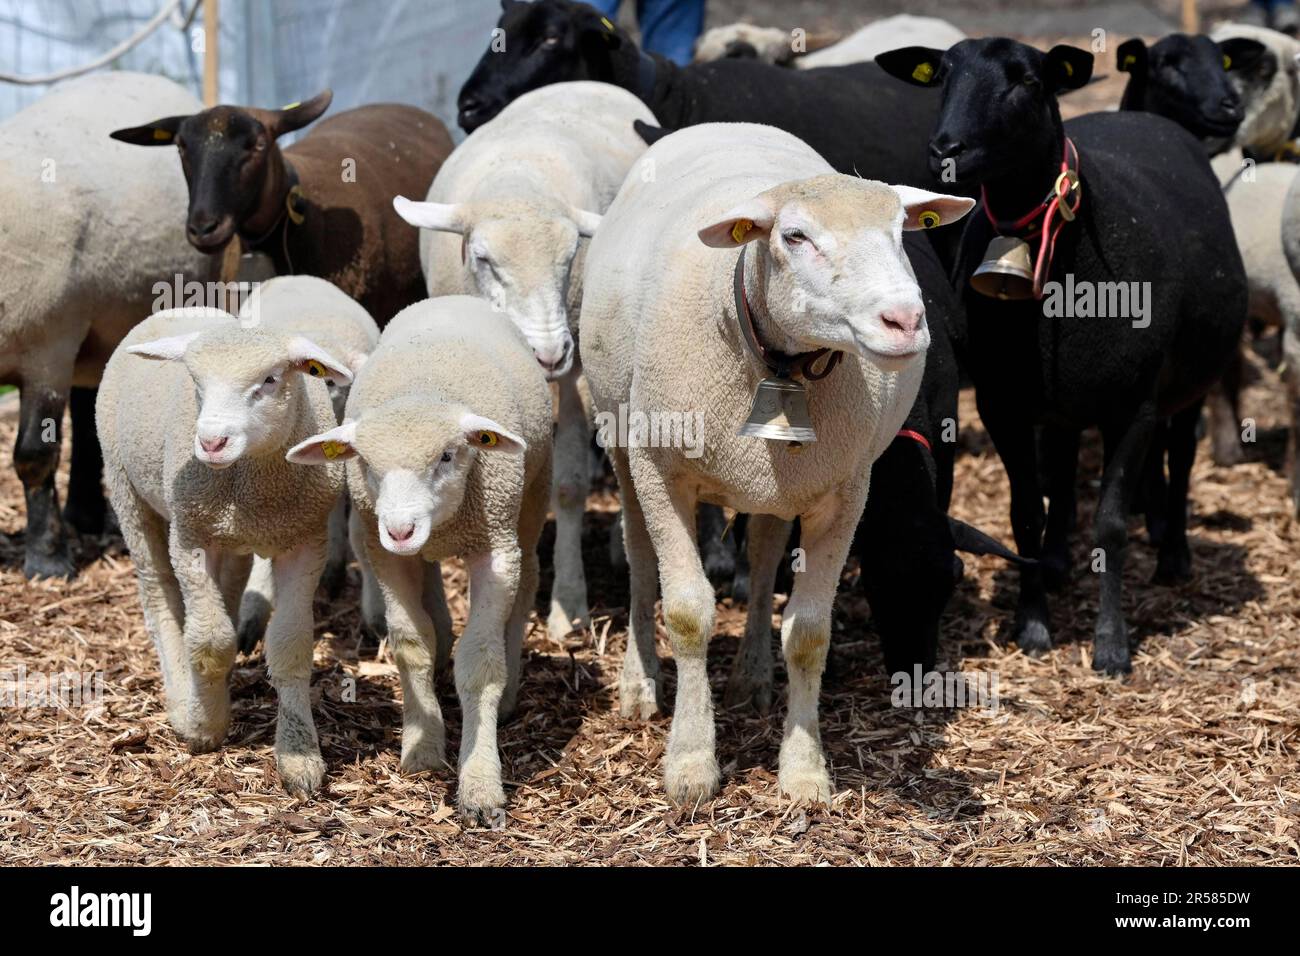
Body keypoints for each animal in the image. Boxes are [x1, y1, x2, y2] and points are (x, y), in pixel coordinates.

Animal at [96, 307, 354, 795]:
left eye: (270, 379)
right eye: (195, 381)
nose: (212, 442)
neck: (252, 483)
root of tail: (173, 310)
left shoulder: (306, 542)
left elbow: (291, 645)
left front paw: (299, 755)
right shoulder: (190, 538)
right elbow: (209, 640)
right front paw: (203, 724)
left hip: (228, 535)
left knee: (226, 588)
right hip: (127, 487)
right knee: (158, 591)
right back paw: (184, 693)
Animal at [287, 296, 552, 821]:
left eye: (448, 456)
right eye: (366, 463)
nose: (400, 528)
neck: (423, 388)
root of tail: (454, 297)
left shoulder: (494, 548)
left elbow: (481, 660)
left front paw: (480, 783)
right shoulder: (384, 553)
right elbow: (412, 643)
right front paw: (423, 746)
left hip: (529, 501)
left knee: (527, 583)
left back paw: (509, 696)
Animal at [392, 81, 654, 643]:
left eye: (570, 258)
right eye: (483, 258)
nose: (549, 353)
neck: (521, 178)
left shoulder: (577, 373)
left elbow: (570, 484)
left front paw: (567, 604)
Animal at [580, 120, 974, 803]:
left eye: (900, 233)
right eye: (794, 236)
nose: (904, 320)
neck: (778, 359)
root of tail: (728, 124)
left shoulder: (844, 490)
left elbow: (810, 631)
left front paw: (804, 767)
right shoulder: (662, 472)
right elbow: (687, 614)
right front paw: (690, 762)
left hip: (778, 481)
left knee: (763, 558)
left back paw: (753, 676)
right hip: (623, 443)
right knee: (638, 558)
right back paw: (640, 682)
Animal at [878, 39, 1246, 675]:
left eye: (1027, 80)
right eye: (943, 74)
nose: (945, 150)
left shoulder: (1135, 405)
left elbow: (1112, 526)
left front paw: (1111, 645)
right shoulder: (1004, 402)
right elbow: (1027, 511)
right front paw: (1033, 623)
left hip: (1188, 377)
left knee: (1180, 454)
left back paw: (1173, 554)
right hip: (1063, 395)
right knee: (1064, 465)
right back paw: (1054, 564)